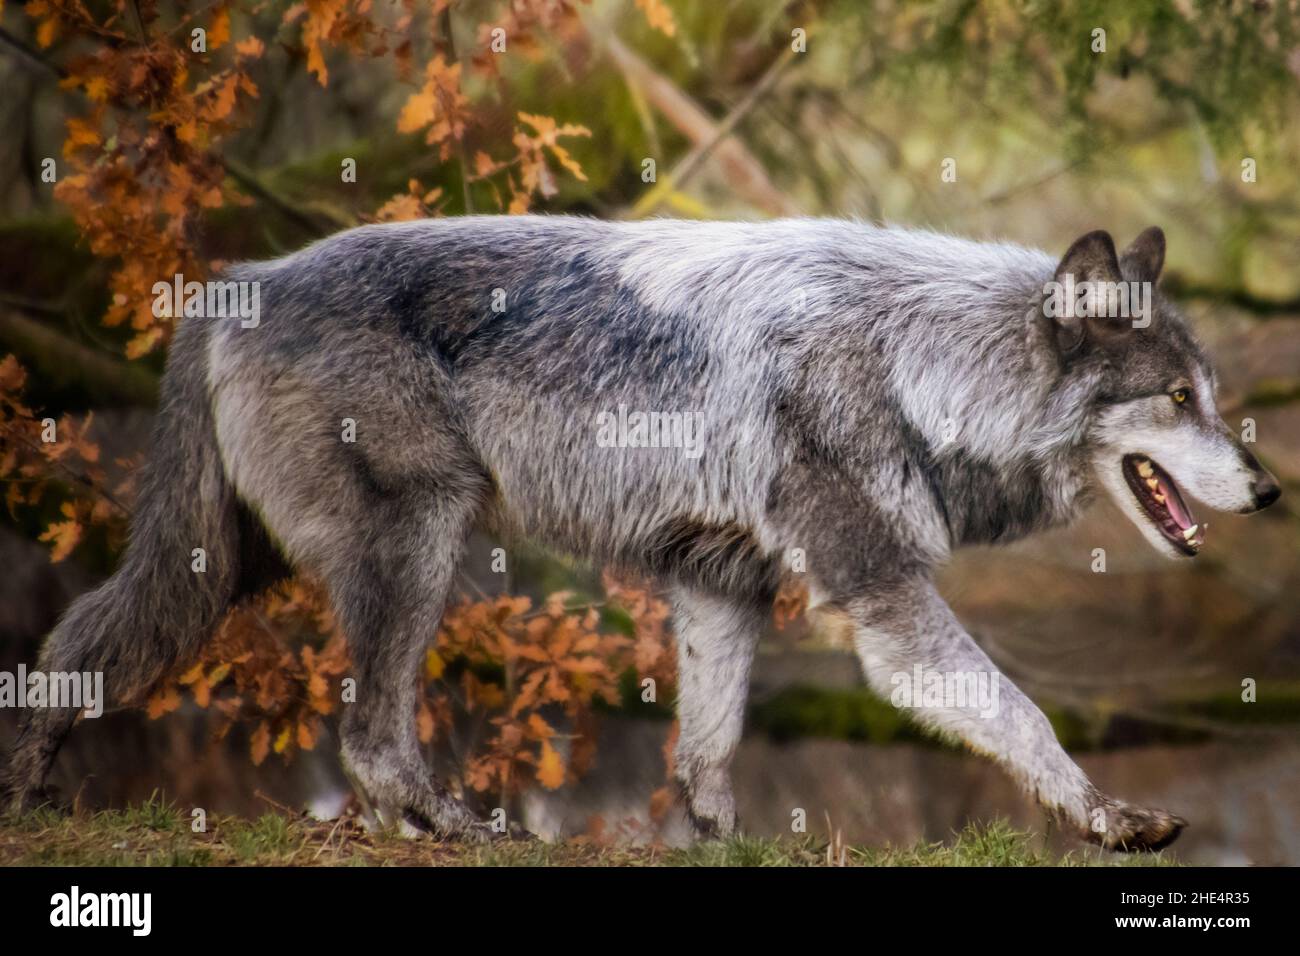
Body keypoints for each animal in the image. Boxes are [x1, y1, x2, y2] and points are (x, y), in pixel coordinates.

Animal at [2, 216, 1281, 850]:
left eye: (1214, 395)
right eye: (1177, 398)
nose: (1270, 489)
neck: (913, 360)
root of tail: (236, 279)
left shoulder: (721, 586)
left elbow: (705, 745)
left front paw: (720, 841)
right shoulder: (879, 593)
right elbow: (1021, 712)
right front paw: (1107, 817)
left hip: (218, 567)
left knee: (75, 644)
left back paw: (26, 794)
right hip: (419, 544)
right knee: (367, 734)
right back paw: (450, 825)